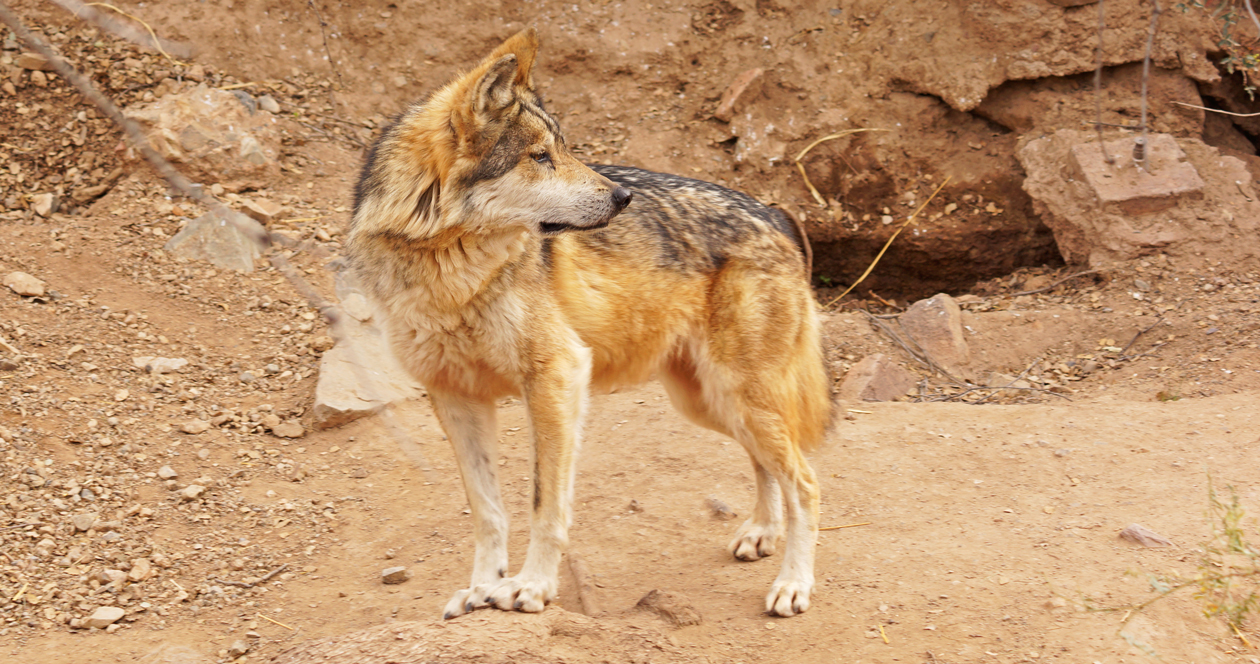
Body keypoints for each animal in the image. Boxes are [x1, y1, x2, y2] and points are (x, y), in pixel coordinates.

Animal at [347, 28, 832, 618]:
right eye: (540, 156)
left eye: (564, 148)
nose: (624, 197)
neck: (450, 270)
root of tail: (773, 212)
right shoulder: (456, 399)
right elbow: (488, 512)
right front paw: (481, 588)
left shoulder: (557, 377)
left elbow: (543, 504)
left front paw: (531, 586)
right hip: (710, 403)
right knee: (769, 466)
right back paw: (762, 533)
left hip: (739, 397)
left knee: (806, 482)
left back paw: (794, 584)